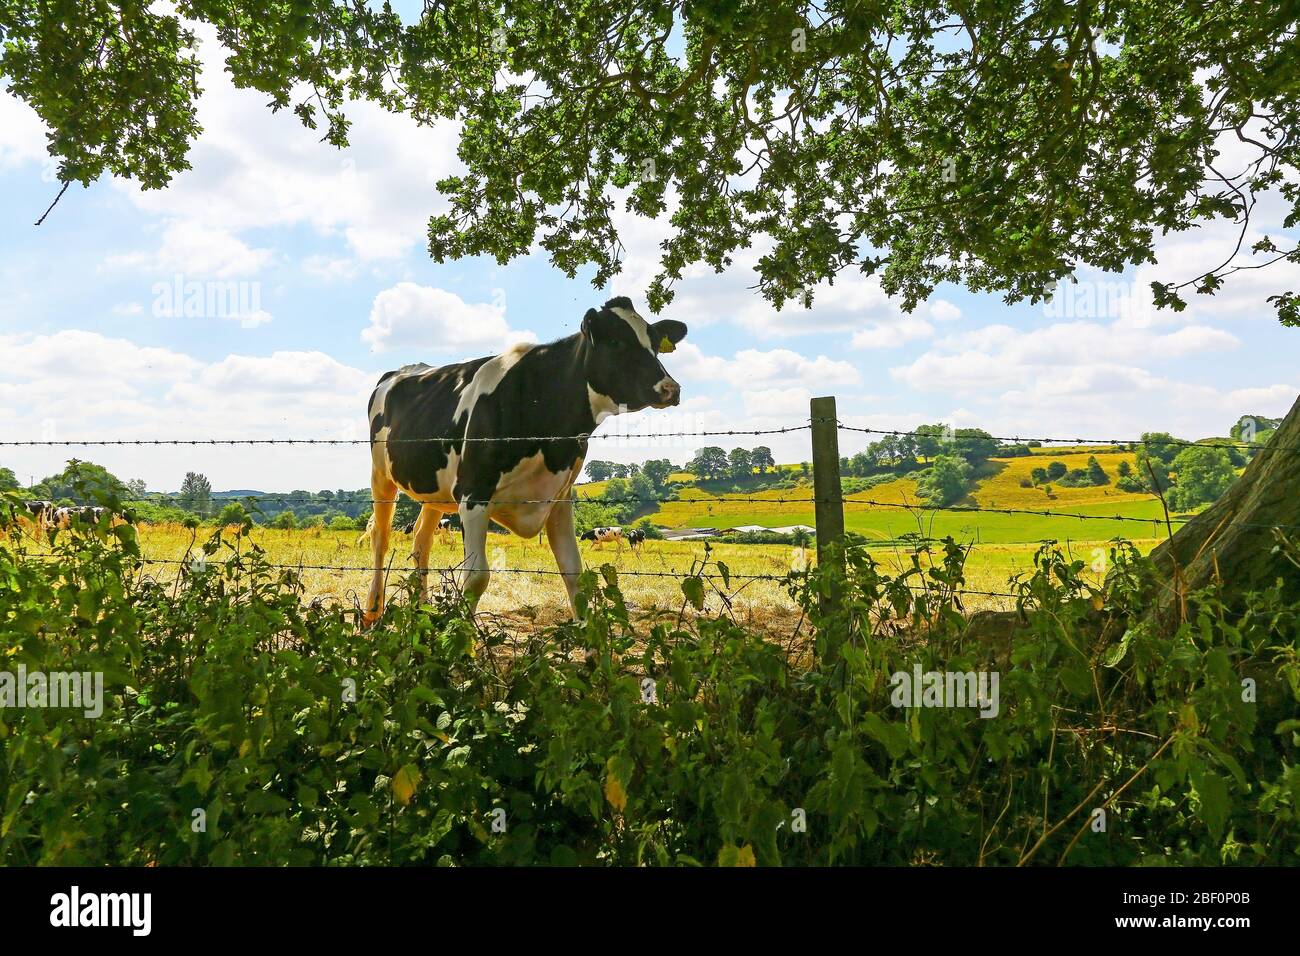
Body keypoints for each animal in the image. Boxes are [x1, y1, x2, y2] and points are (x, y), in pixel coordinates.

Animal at [363, 295, 686, 624]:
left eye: (654, 343)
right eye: (617, 342)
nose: (671, 388)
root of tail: (401, 371)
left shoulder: (558, 496)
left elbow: (573, 571)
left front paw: (587, 633)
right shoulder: (473, 494)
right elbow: (476, 577)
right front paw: (460, 634)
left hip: (434, 491)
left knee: (421, 541)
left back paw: (422, 611)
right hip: (381, 475)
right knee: (380, 537)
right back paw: (372, 612)